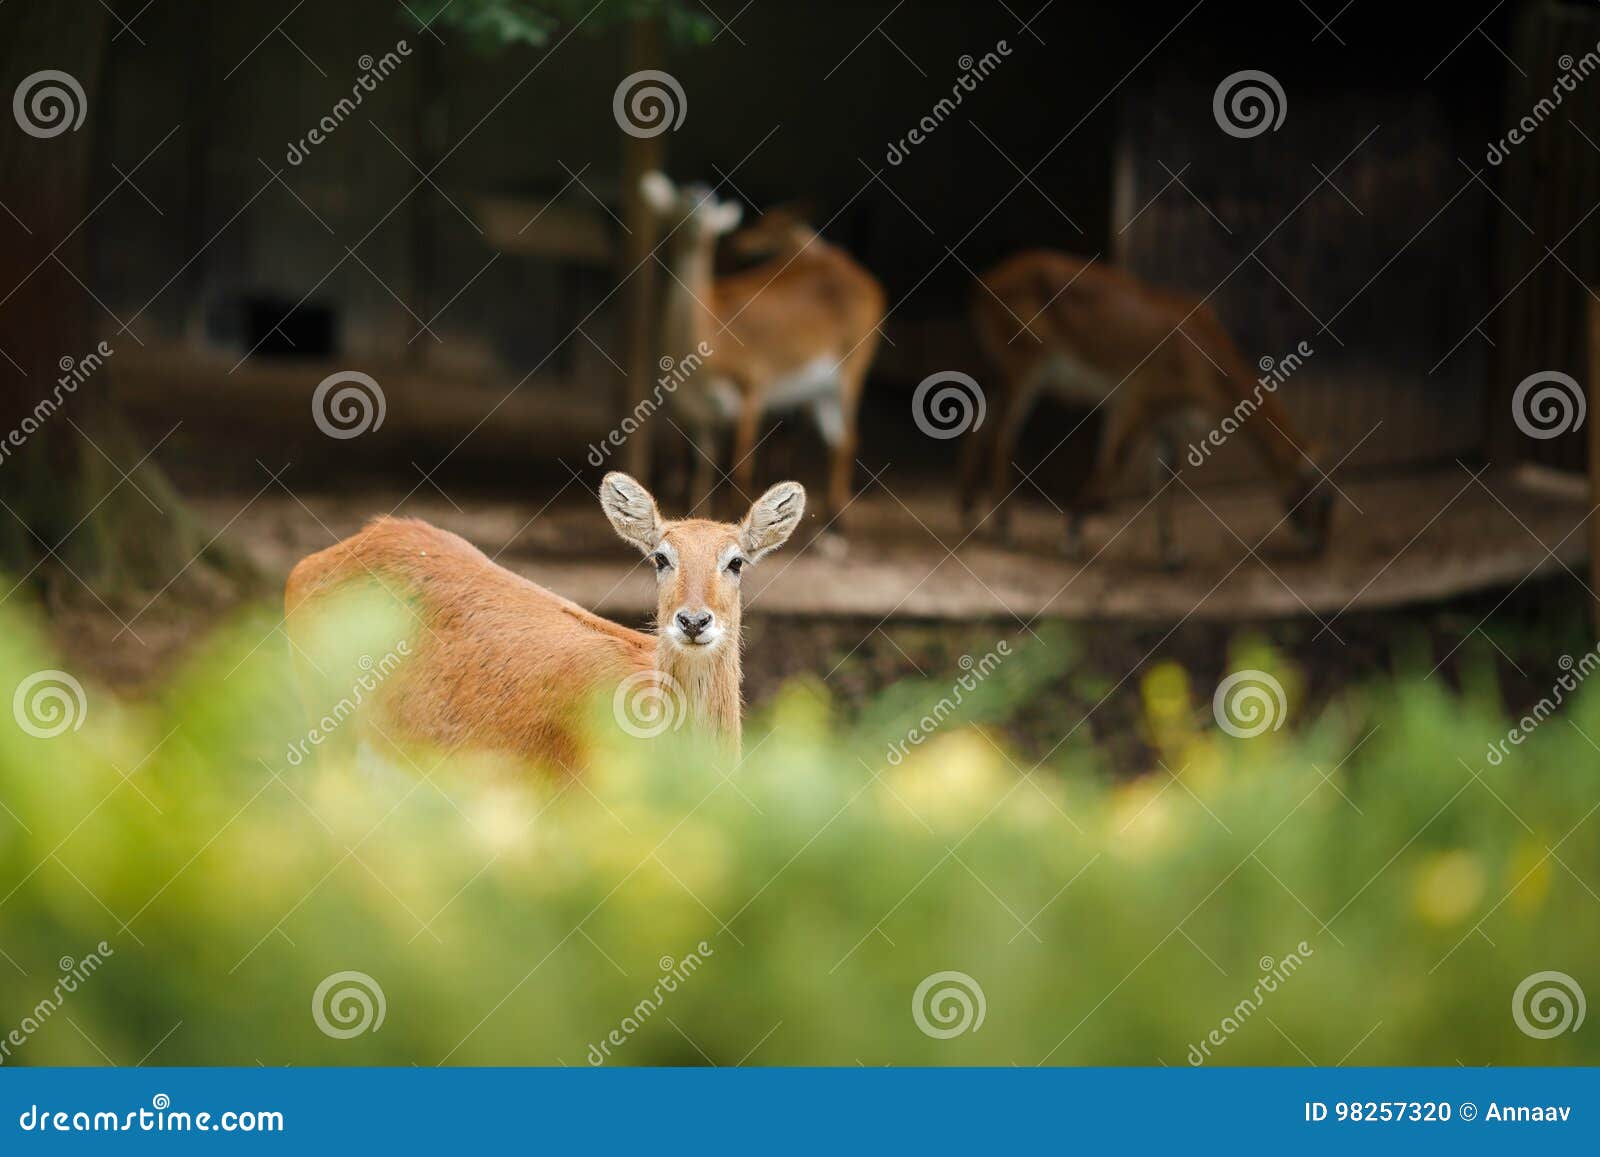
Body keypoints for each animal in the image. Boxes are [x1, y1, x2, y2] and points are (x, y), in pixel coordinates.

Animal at [639, 173, 885, 539]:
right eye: (683, 196)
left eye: (712, 199)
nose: (698, 205)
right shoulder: (700, 414)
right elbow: (703, 469)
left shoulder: (751, 393)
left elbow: (740, 467)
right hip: (821, 392)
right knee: (838, 440)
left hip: (851, 374)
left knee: (850, 439)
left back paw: (837, 530)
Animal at [960, 250, 1332, 567]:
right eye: (1323, 497)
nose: (1318, 547)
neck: (1203, 355)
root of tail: (984, 283)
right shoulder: (1134, 402)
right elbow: (1113, 464)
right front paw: (1070, 538)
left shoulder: (1164, 420)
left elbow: (1166, 478)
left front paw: (1172, 554)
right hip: (1025, 371)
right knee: (1002, 436)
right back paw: (1005, 530)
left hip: (1001, 377)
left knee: (980, 426)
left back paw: (968, 513)